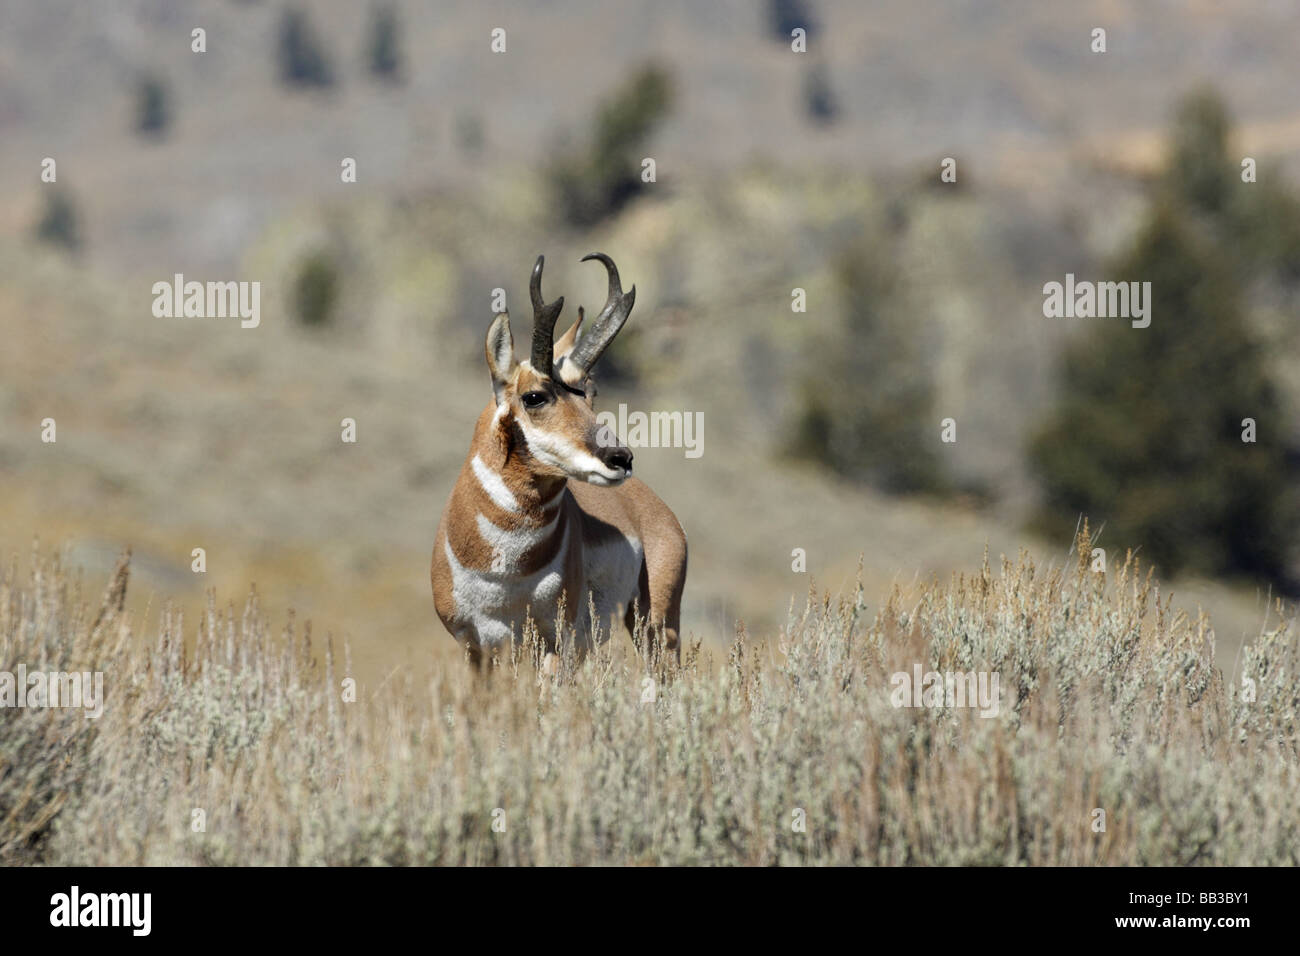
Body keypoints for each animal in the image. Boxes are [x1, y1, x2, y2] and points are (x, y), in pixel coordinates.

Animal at [432, 253, 687, 673]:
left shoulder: (555, 644)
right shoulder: (476, 649)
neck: (505, 568)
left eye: (590, 393)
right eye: (534, 396)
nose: (620, 458)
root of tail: (654, 506)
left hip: (656, 626)